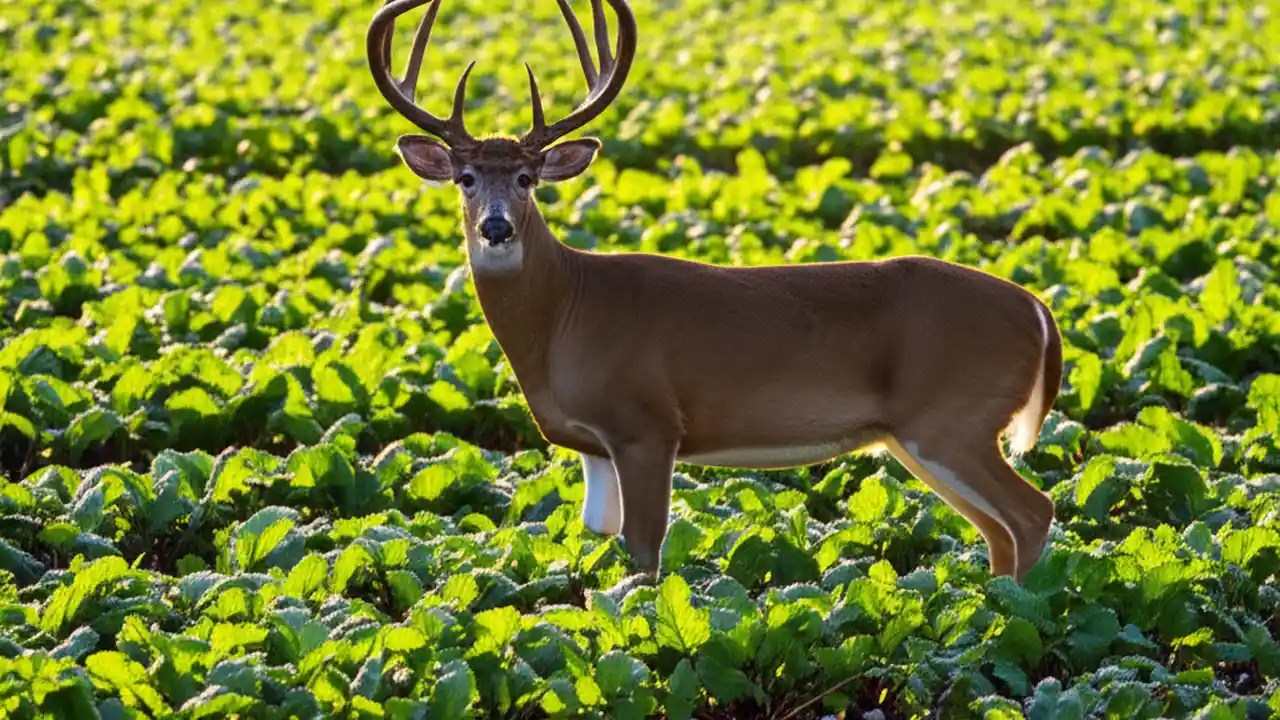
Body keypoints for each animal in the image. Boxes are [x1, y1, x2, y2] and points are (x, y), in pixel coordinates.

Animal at [366, 0, 1063, 584]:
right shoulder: (592, 444)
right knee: (998, 532)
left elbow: (643, 552)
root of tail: (1038, 309)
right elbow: (601, 539)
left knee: (1032, 512)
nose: (496, 227)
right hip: (924, 434)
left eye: (526, 178)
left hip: (954, 417)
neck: (565, 314)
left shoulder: (646, 423)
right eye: (464, 178)